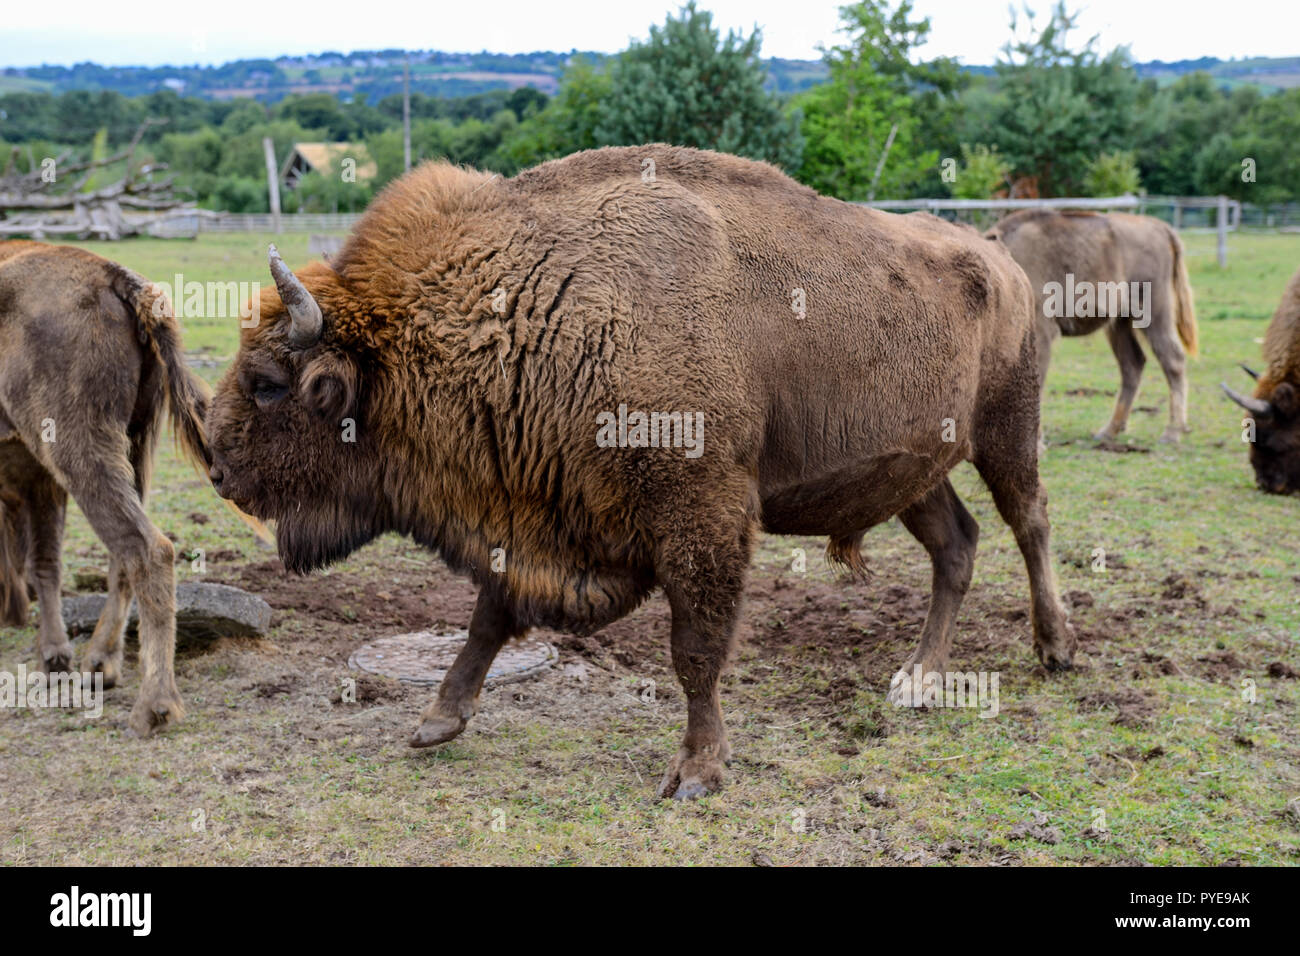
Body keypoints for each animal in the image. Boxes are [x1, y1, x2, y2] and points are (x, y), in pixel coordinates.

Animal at [0, 240, 250, 735]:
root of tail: (116, 277)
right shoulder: (39, 479)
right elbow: (44, 560)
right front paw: (52, 652)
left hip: (79, 448)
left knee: (147, 547)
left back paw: (153, 705)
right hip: (134, 444)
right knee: (123, 553)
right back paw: (101, 663)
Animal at [207, 145, 1076, 799]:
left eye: (270, 383)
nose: (217, 467)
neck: (533, 308)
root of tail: (1004, 263)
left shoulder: (701, 517)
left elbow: (695, 648)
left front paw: (697, 772)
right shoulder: (535, 516)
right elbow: (489, 618)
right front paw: (436, 722)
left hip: (1006, 434)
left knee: (1029, 522)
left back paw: (1055, 649)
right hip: (916, 470)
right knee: (956, 545)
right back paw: (918, 680)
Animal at [986, 210, 1198, 444]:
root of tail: (1159, 226)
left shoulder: (1041, 333)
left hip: (1154, 312)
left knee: (1172, 359)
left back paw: (1172, 432)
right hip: (1120, 322)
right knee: (1132, 364)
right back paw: (1109, 430)